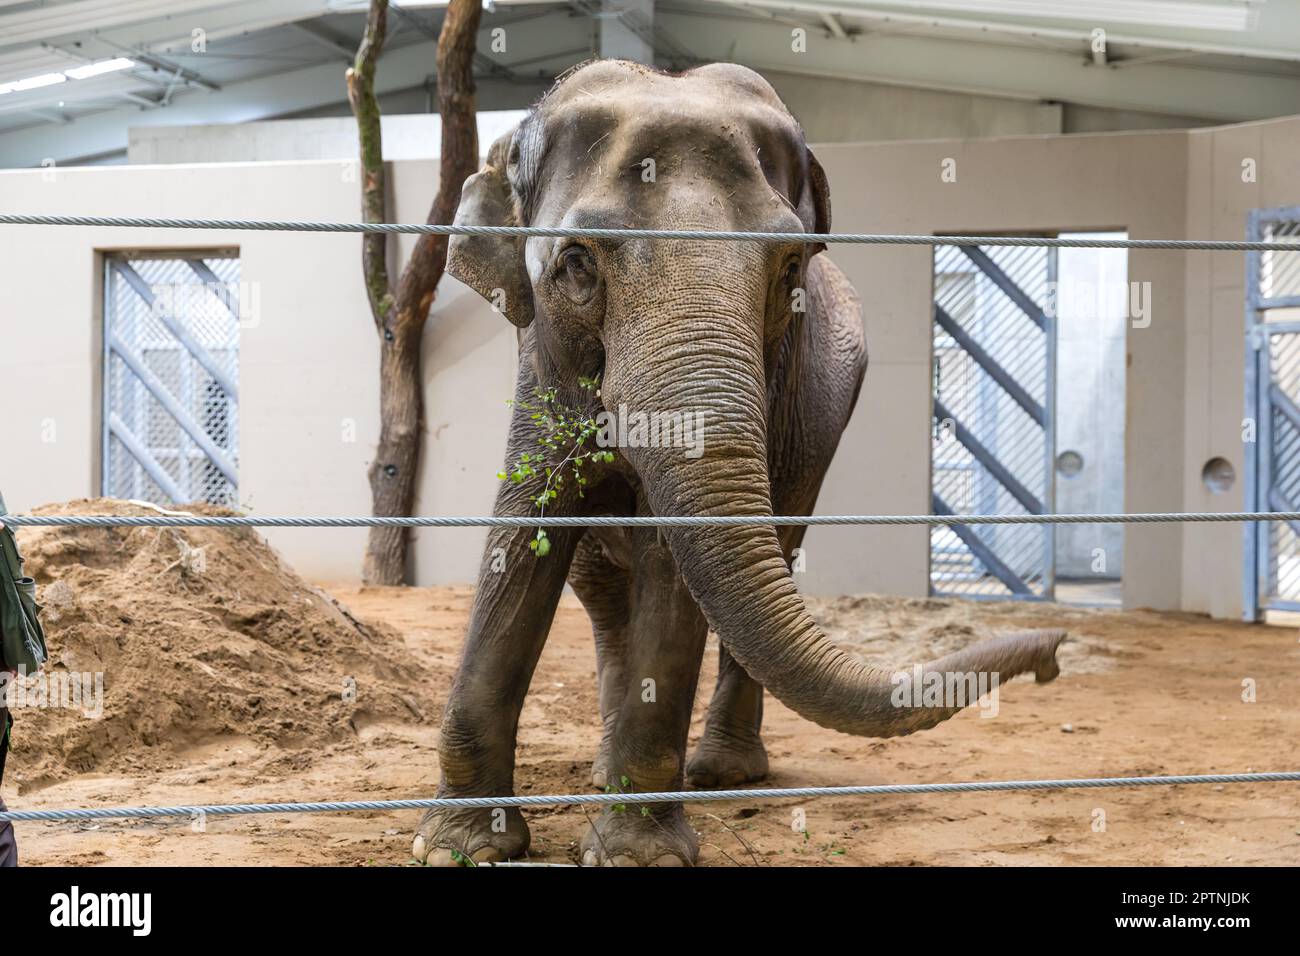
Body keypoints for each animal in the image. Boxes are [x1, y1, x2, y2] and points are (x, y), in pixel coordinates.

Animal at [412, 59, 1067, 866]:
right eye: (576, 262)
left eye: (789, 266)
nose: (1054, 656)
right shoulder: (542, 361)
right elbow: (522, 534)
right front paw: (458, 847)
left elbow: (671, 568)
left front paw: (636, 856)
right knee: (602, 587)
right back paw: (604, 765)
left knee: (773, 548)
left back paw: (723, 773)